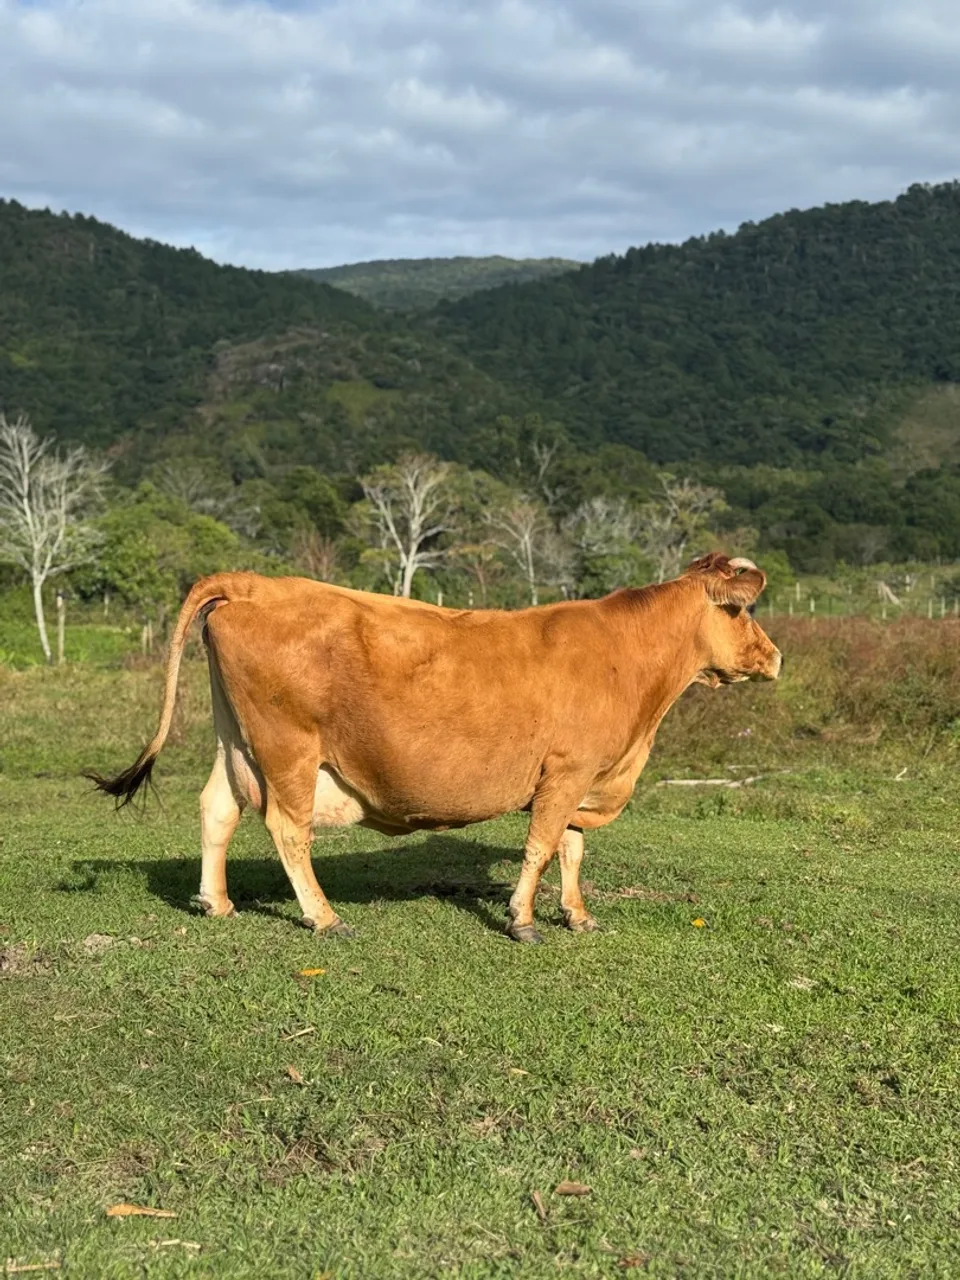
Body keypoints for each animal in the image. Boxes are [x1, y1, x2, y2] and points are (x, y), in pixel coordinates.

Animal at [88, 552, 781, 943]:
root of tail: (258, 584)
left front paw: (578, 915)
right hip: (289, 749)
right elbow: (541, 847)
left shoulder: (583, 776)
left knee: (217, 808)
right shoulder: (567, 772)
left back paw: (218, 903)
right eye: (743, 613)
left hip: (236, 741)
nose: (775, 656)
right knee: (288, 828)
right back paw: (323, 917)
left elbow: (571, 849)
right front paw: (523, 920)